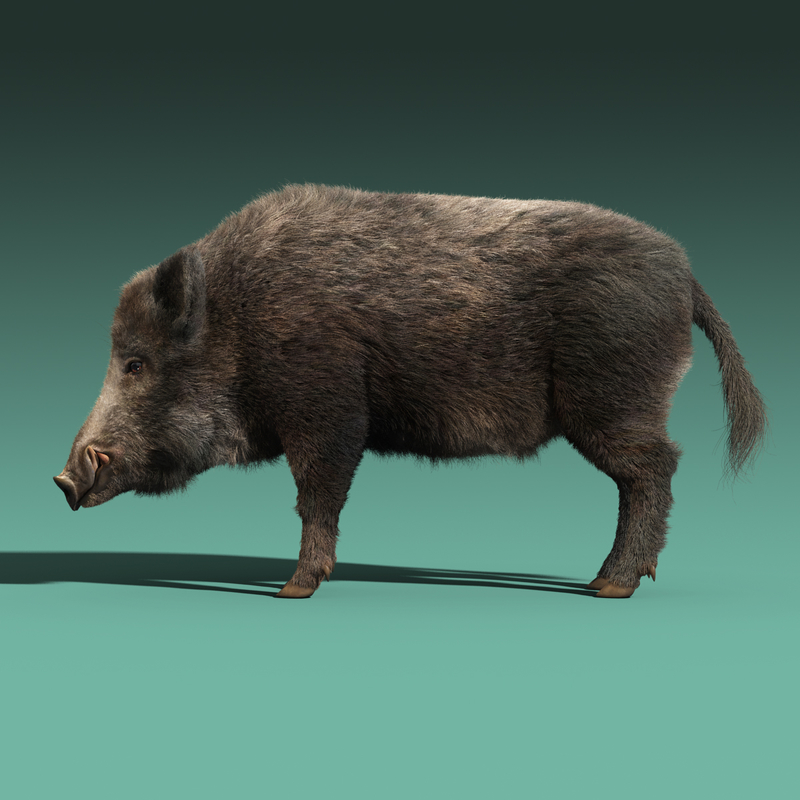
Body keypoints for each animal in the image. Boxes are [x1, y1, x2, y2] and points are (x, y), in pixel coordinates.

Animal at [54, 184, 767, 598]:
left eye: (136, 363)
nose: (62, 478)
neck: (240, 320)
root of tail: (685, 275)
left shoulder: (327, 411)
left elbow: (317, 493)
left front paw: (293, 590)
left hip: (614, 400)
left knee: (653, 470)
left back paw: (606, 587)